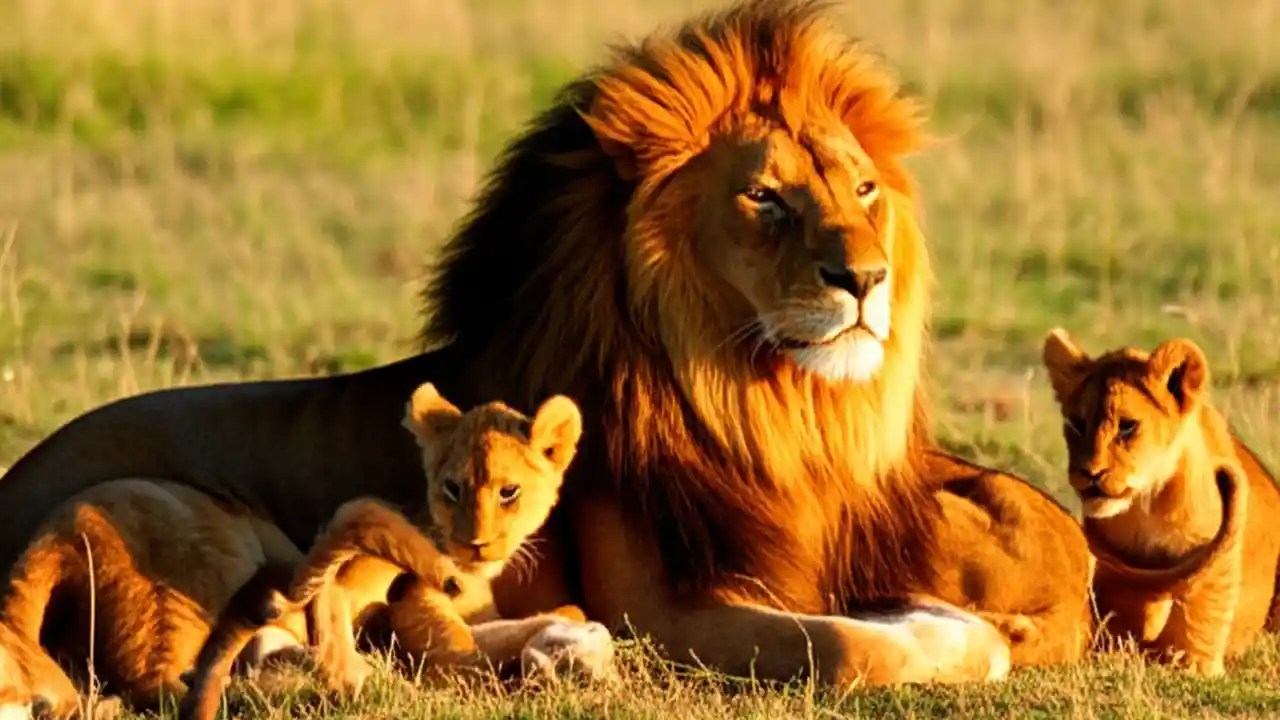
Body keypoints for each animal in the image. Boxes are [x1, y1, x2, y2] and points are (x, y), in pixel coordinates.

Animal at [0, 0, 1096, 685]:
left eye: (863, 188)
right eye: (766, 198)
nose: (865, 281)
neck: (764, 402)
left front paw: (955, 614)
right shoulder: (671, 613)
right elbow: (848, 650)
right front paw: (965, 639)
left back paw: (559, 647)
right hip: (211, 521)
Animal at [1042, 329, 1280, 674]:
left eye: (1127, 426)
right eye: (1077, 424)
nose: (1091, 473)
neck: (1146, 506)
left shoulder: (1211, 564)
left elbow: (1198, 621)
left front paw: (1192, 665)